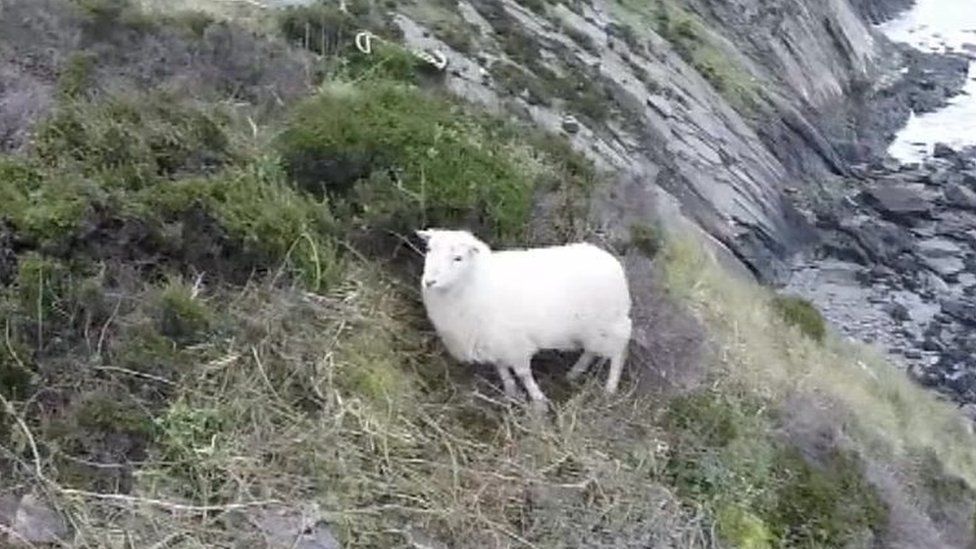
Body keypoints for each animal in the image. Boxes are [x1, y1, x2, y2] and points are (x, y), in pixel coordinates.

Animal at [415, 228, 632, 409]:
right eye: (429, 250)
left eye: (458, 258)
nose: (429, 282)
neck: (474, 282)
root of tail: (609, 259)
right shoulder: (491, 340)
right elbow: (501, 368)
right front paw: (511, 392)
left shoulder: (514, 342)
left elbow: (523, 373)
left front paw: (539, 400)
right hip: (591, 328)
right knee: (591, 350)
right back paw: (574, 373)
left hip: (609, 323)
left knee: (618, 352)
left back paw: (610, 389)